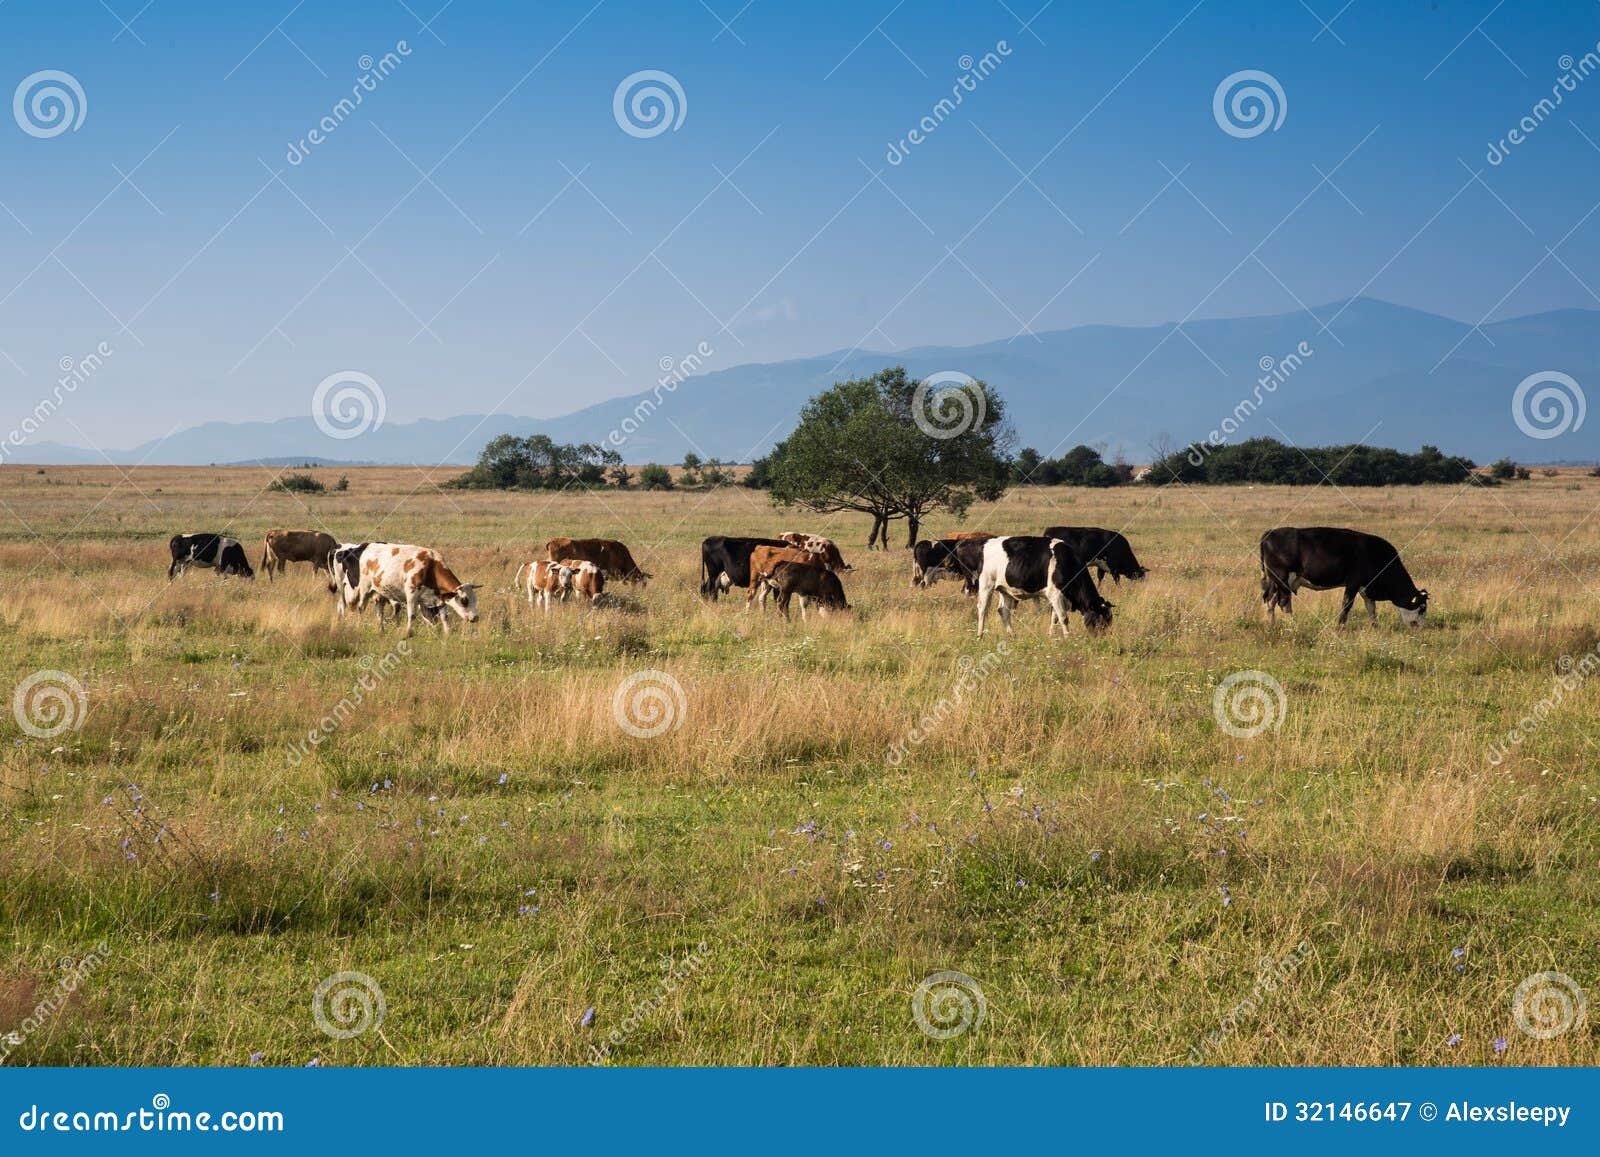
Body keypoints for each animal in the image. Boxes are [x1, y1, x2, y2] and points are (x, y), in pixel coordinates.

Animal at [976, 536, 1113, 637]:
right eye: (1101, 620)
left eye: (1109, 620)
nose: (1103, 638)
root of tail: (988, 543)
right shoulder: (1055, 593)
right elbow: (1063, 617)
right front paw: (1068, 637)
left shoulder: (1058, 597)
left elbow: (1054, 618)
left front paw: (1051, 636)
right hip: (986, 584)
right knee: (982, 609)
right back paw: (980, 636)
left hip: (1005, 590)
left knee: (1003, 610)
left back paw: (1012, 636)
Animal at [1259, 527, 1429, 627]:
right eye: (1421, 608)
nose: (1420, 627)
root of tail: (1270, 533)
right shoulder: (1353, 582)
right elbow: (1347, 605)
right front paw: (1340, 627)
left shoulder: (1365, 587)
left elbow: (1371, 608)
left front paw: (1375, 626)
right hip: (1282, 579)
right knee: (1283, 602)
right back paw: (1293, 625)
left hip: (1274, 581)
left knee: (1271, 601)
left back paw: (1272, 625)